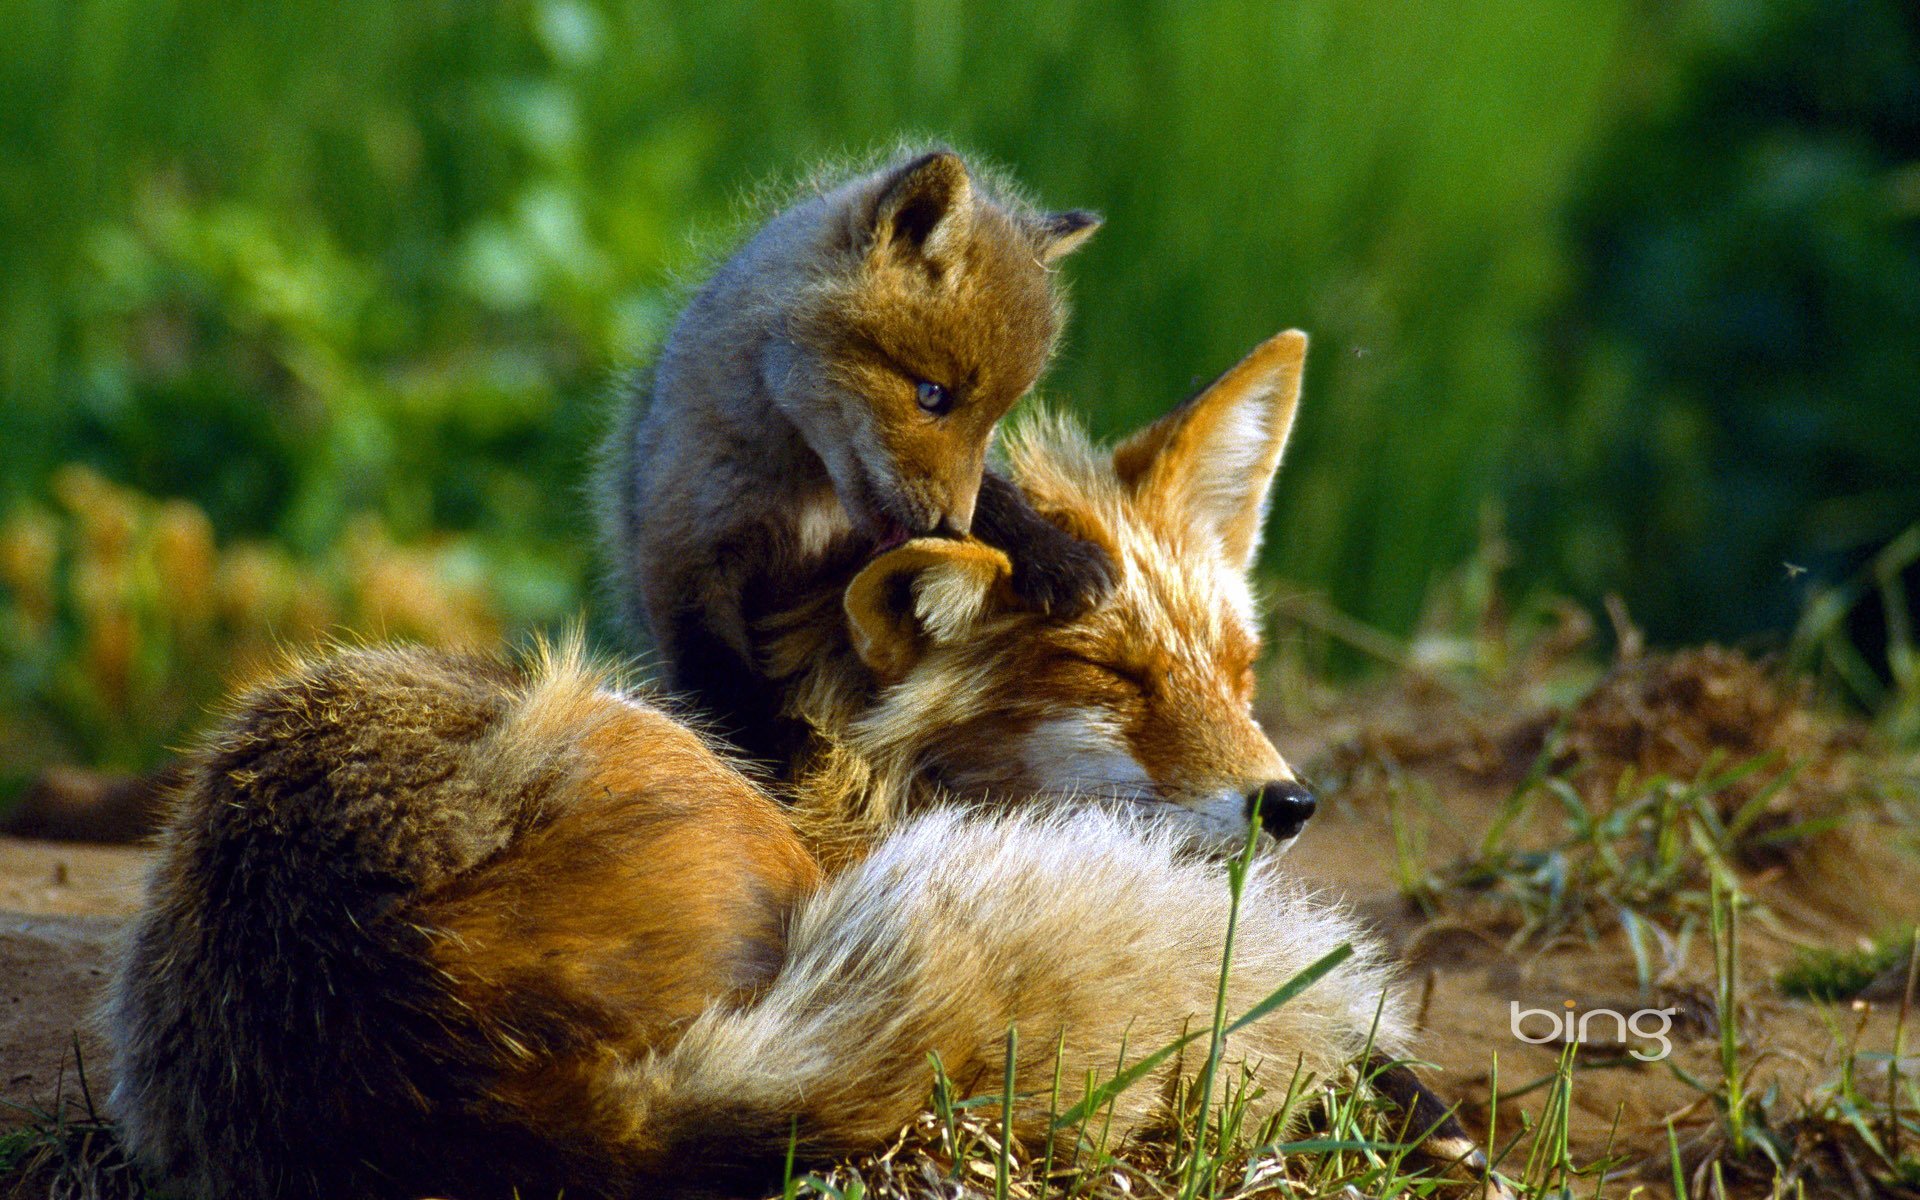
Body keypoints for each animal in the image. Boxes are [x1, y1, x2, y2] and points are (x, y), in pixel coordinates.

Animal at [598, 145, 1114, 762]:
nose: (951, 529)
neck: (808, 501)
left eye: (993, 423)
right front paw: (768, 765)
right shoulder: (685, 565)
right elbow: (723, 689)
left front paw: (1056, 552)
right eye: (932, 395)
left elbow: (997, 495)